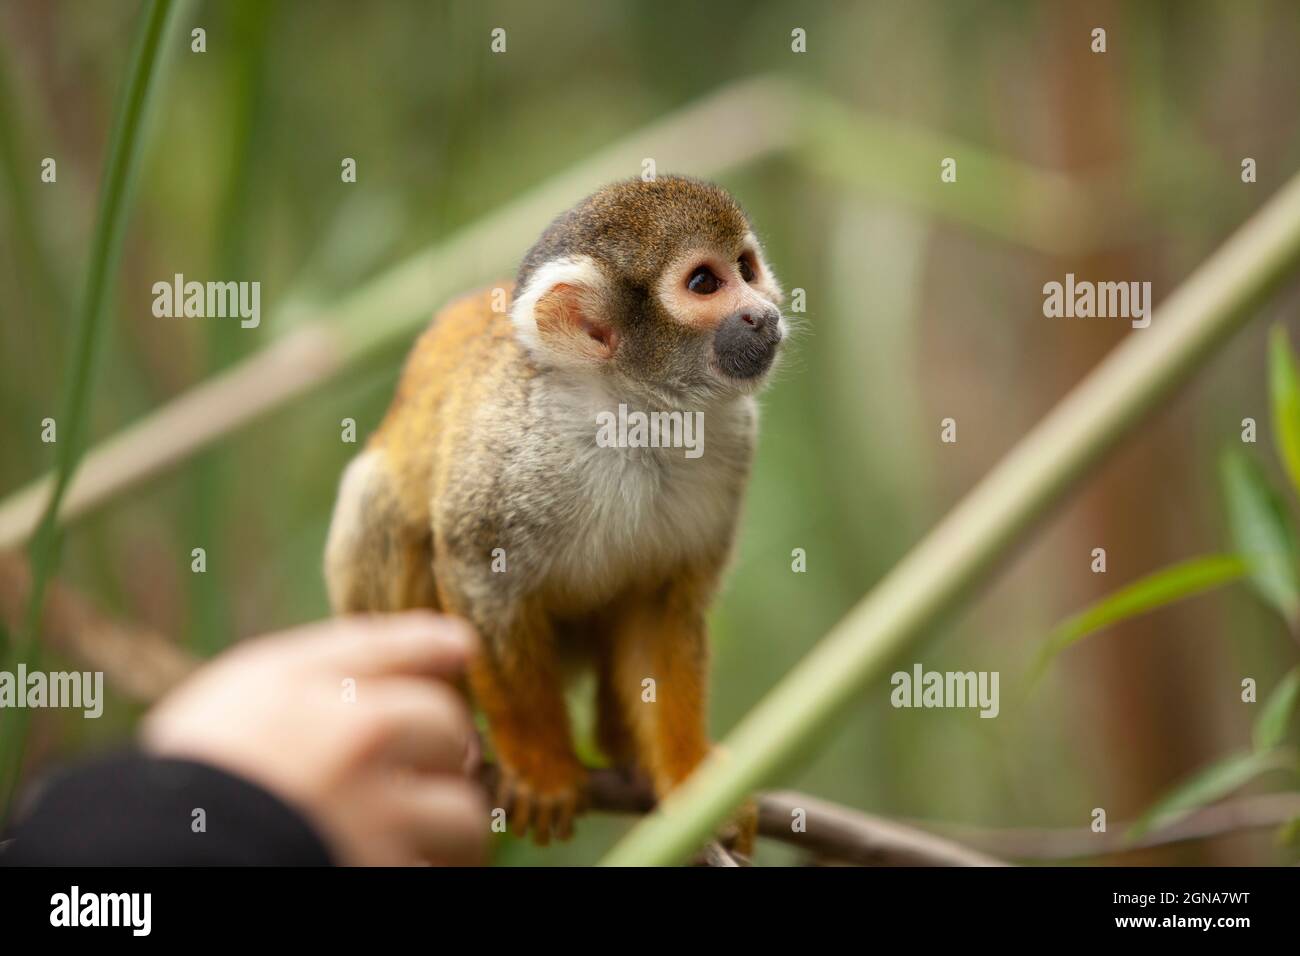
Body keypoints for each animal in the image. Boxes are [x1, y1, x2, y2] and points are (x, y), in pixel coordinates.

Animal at [324, 176, 786, 852]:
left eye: (747, 268)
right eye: (706, 283)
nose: (765, 311)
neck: (635, 415)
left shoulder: (734, 442)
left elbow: (661, 606)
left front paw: (690, 782)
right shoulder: (507, 454)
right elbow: (479, 580)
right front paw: (542, 771)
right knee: (379, 504)